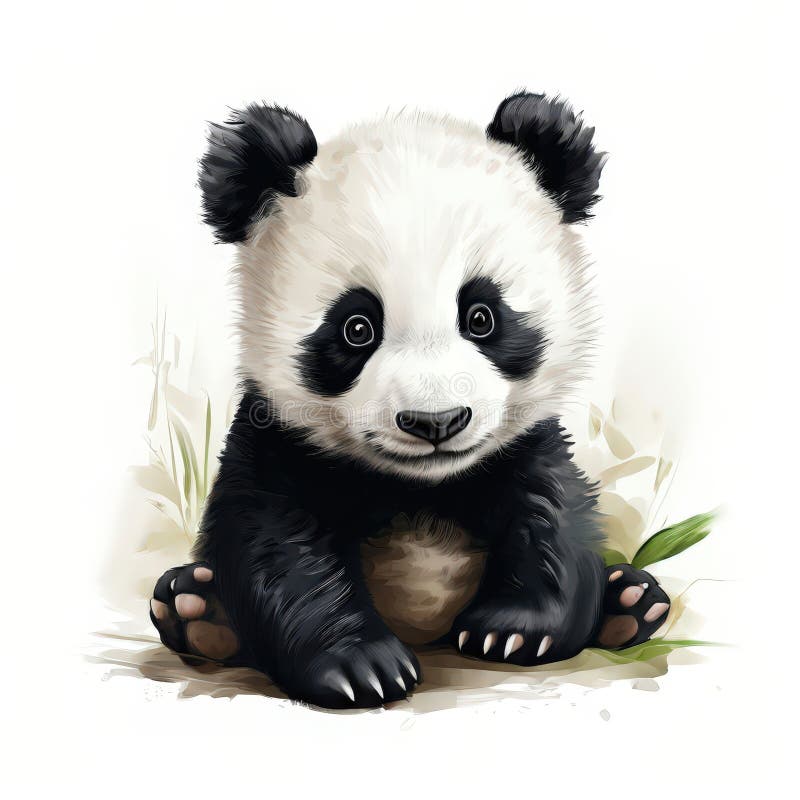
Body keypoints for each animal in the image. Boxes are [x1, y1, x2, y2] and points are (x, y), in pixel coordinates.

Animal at [149, 92, 671, 709]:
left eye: (481, 316)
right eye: (356, 327)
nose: (435, 422)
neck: (418, 487)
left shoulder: (524, 445)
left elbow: (554, 514)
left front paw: (516, 629)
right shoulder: (276, 439)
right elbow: (274, 544)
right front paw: (361, 666)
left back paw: (632, 602)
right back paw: (195, 610)